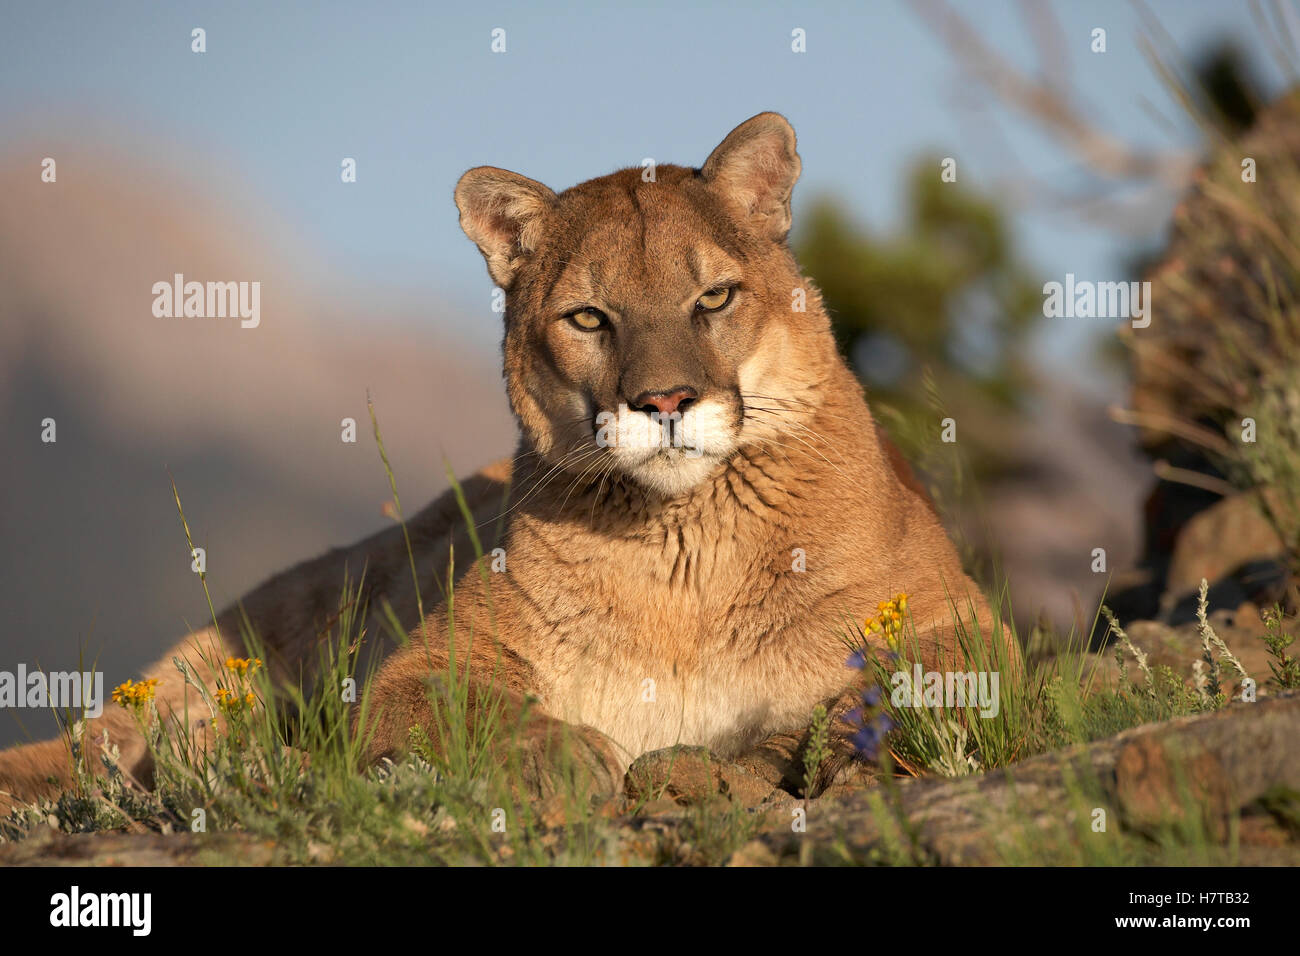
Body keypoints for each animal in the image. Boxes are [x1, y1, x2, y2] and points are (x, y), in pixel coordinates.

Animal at [0, 112, 1003, 812]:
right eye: (589, 317)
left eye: (714, 296)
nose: (665, 405)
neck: (685, 561)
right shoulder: (427, 664)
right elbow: (476, 711)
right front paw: (567, 752)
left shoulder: (960, 617)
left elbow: (916, 685)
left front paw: (819, 754)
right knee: (95, 748)